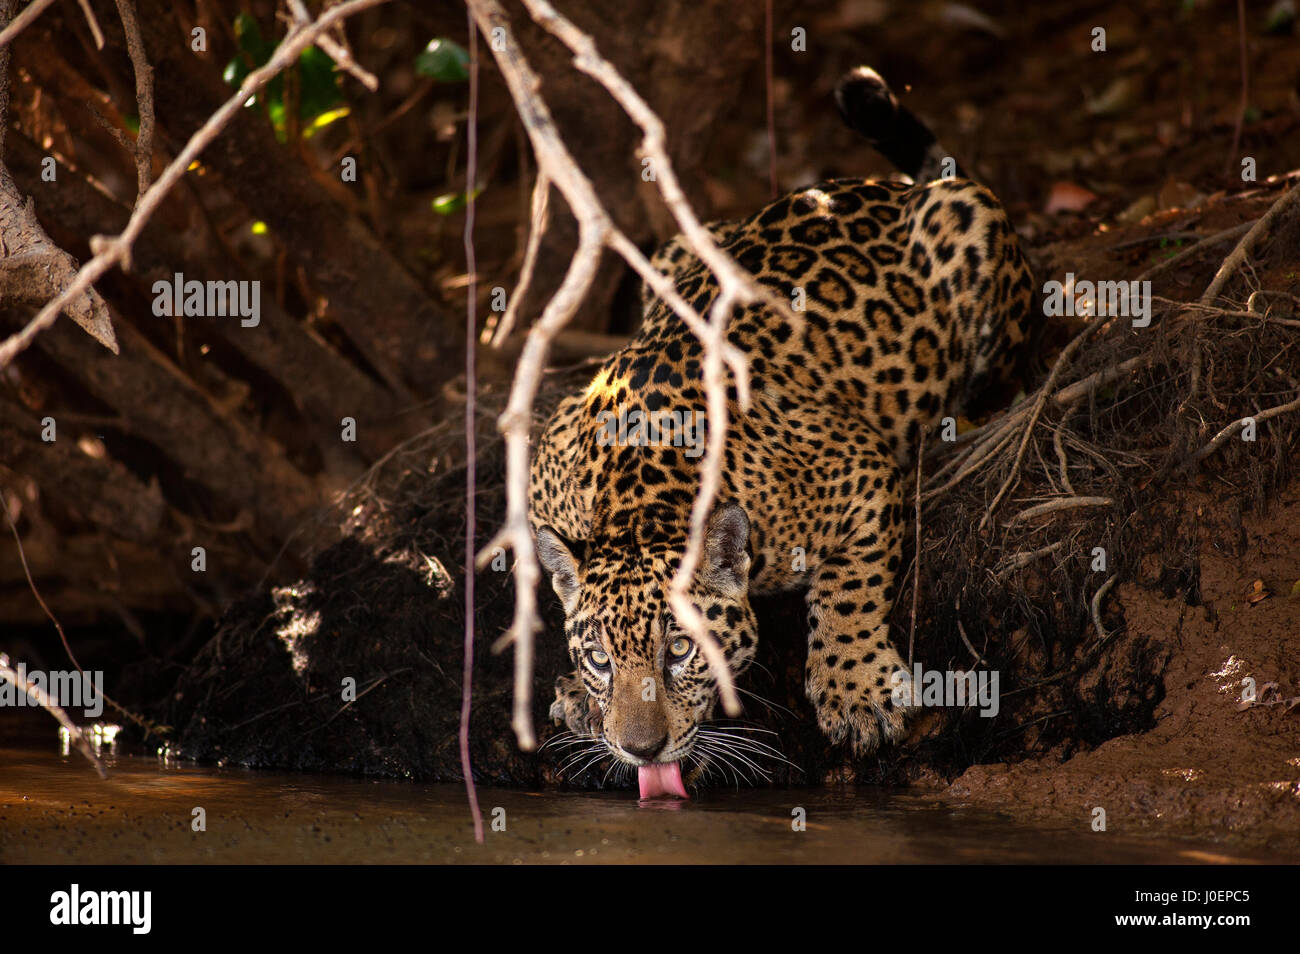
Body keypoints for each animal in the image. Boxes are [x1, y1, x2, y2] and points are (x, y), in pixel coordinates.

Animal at [528, 66, 1035, 795]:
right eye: (600, 658)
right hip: (677, 245)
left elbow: (849, 584)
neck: (639, 492)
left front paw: (856, 692)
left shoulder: (858, 470)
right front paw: (575, 691)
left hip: (971, 228)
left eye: (679, 650)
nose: (640, 749)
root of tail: (886, 187)